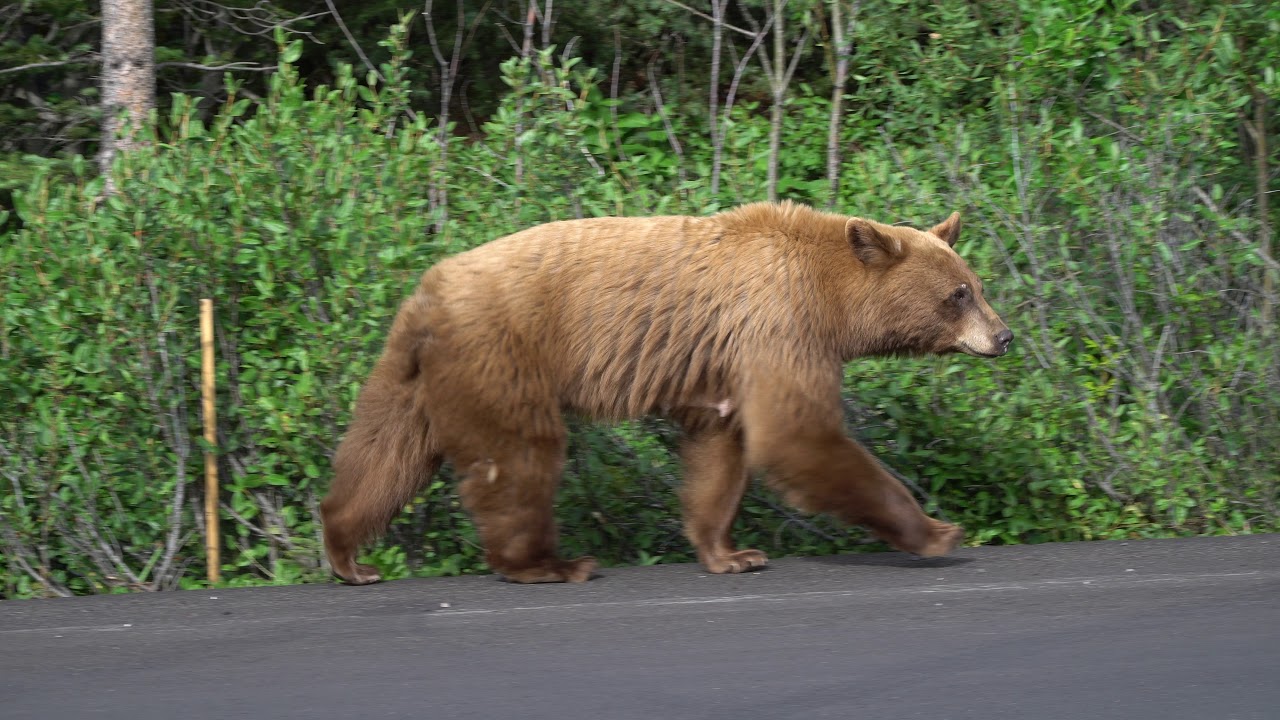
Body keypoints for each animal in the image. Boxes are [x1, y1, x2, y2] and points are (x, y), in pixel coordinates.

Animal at [319, 200, 1013, 585]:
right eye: (959, 293)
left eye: (977, 285)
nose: (1004, 336)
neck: (832, 296)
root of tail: (427, 293)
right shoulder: (779, 321)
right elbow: (797, 436)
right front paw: (937, 532)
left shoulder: (729, 364)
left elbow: (720, 449)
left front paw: (731, 552)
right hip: (502, 354)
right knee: (520, 454)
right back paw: (549, 564)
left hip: (417, 376)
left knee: (385, 455)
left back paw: (348, 553)